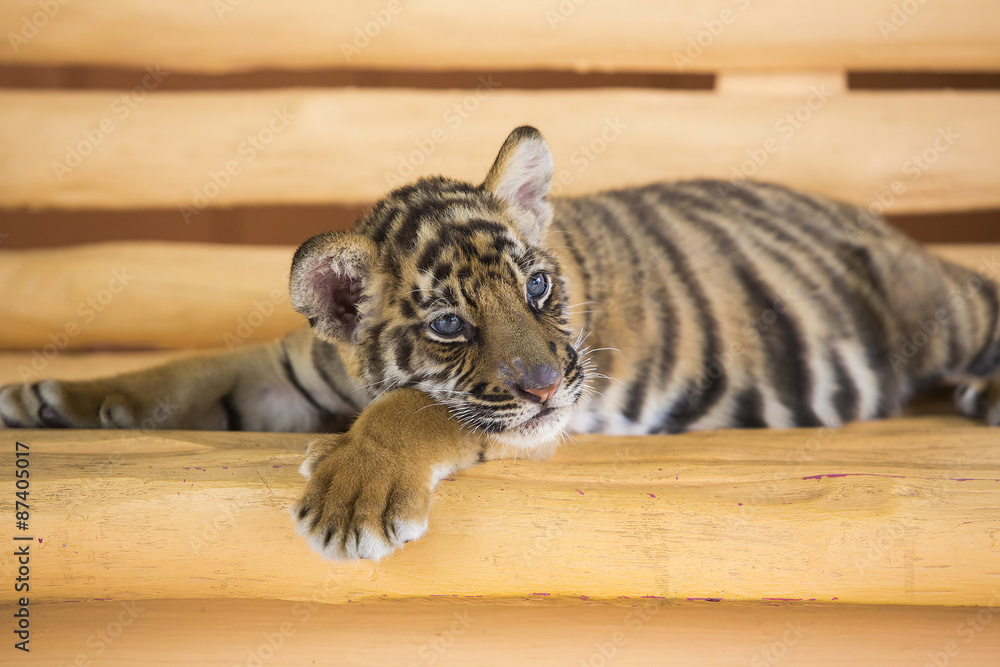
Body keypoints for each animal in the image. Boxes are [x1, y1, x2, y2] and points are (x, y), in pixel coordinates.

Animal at [2, 126, 999, 561]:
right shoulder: (290, 369)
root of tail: (892, 232)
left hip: (941, 307)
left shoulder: (540, 416)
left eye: (538, 287)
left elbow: (415, 411)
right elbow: (188, 367)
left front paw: (355, 499)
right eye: (450, 323)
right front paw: (46, 398)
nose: (550, 382)